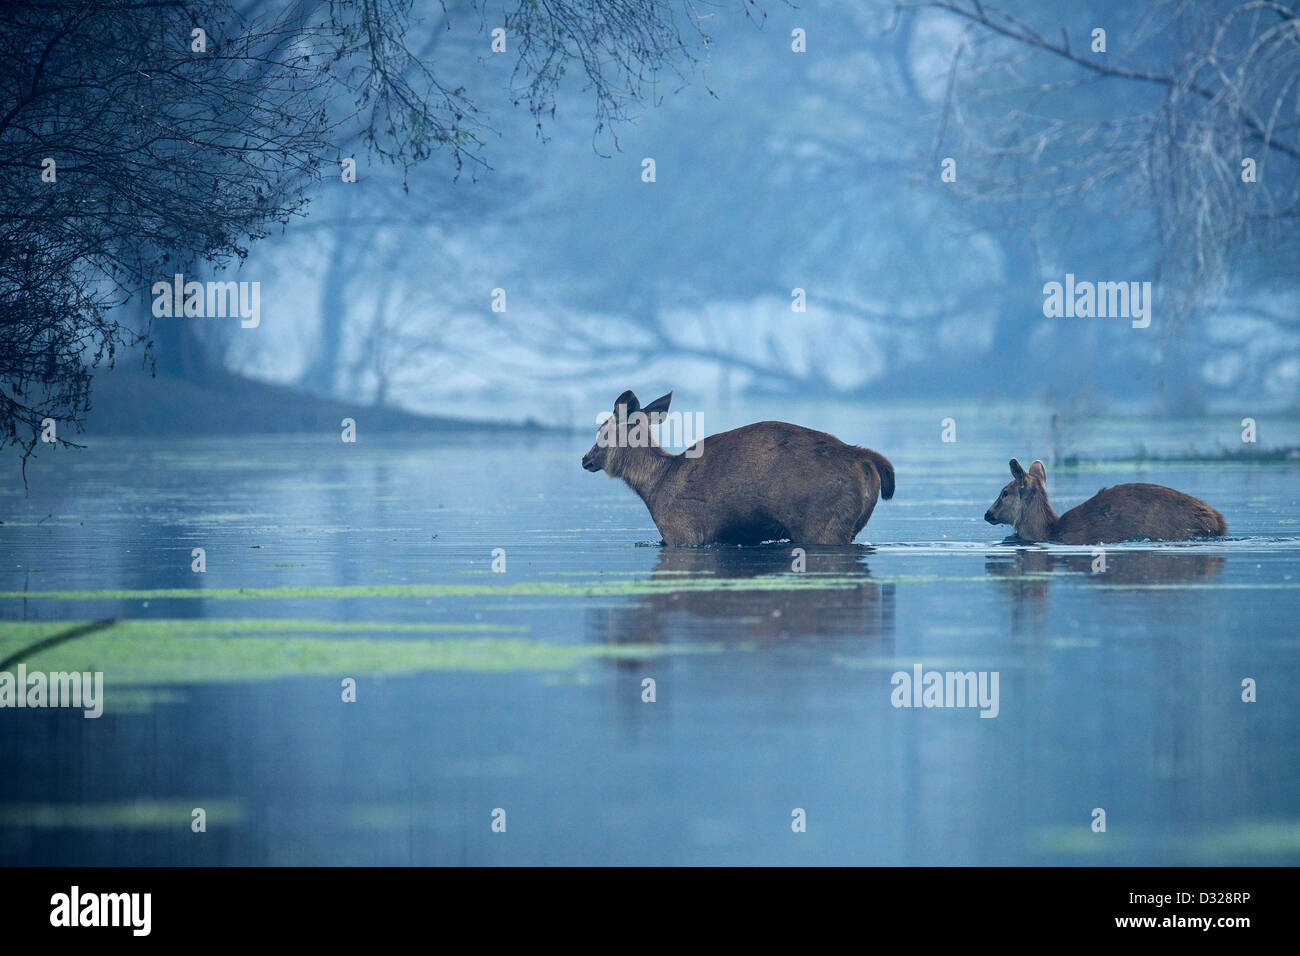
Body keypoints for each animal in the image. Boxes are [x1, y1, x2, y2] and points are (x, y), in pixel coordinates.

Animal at [581, 390, 895, 546]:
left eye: (603, 431)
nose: (586, 459)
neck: (653, 486)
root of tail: (860, 456)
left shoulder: (683, 532)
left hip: (823, 523)